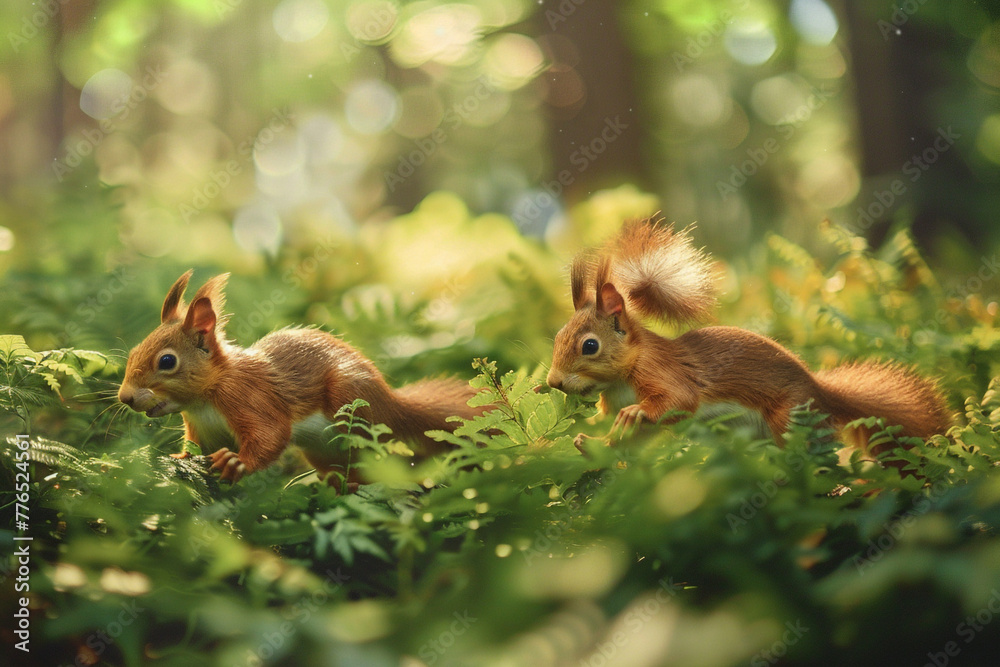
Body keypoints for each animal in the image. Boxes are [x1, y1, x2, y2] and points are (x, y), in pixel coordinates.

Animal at [118, 270, 484, 483]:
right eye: (133, 352)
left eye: (167, 361)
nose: (125, 397)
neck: (206, 398)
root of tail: (394, 406)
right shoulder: (201, 429)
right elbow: (193, 451)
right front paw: (178, 457)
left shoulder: (249, 398)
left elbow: (272, 434)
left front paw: (236, 462)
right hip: (323, 451)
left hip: (352, 405)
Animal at [546, 218, 952, 455]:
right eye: (557, 337)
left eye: (590, 346)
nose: (552, 382)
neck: (620, 381)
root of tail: (821, 392)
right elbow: (626, 440)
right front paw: (595, 439)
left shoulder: (661, 372)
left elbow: (679, 400)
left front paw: (631, 413)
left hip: (789, 418)